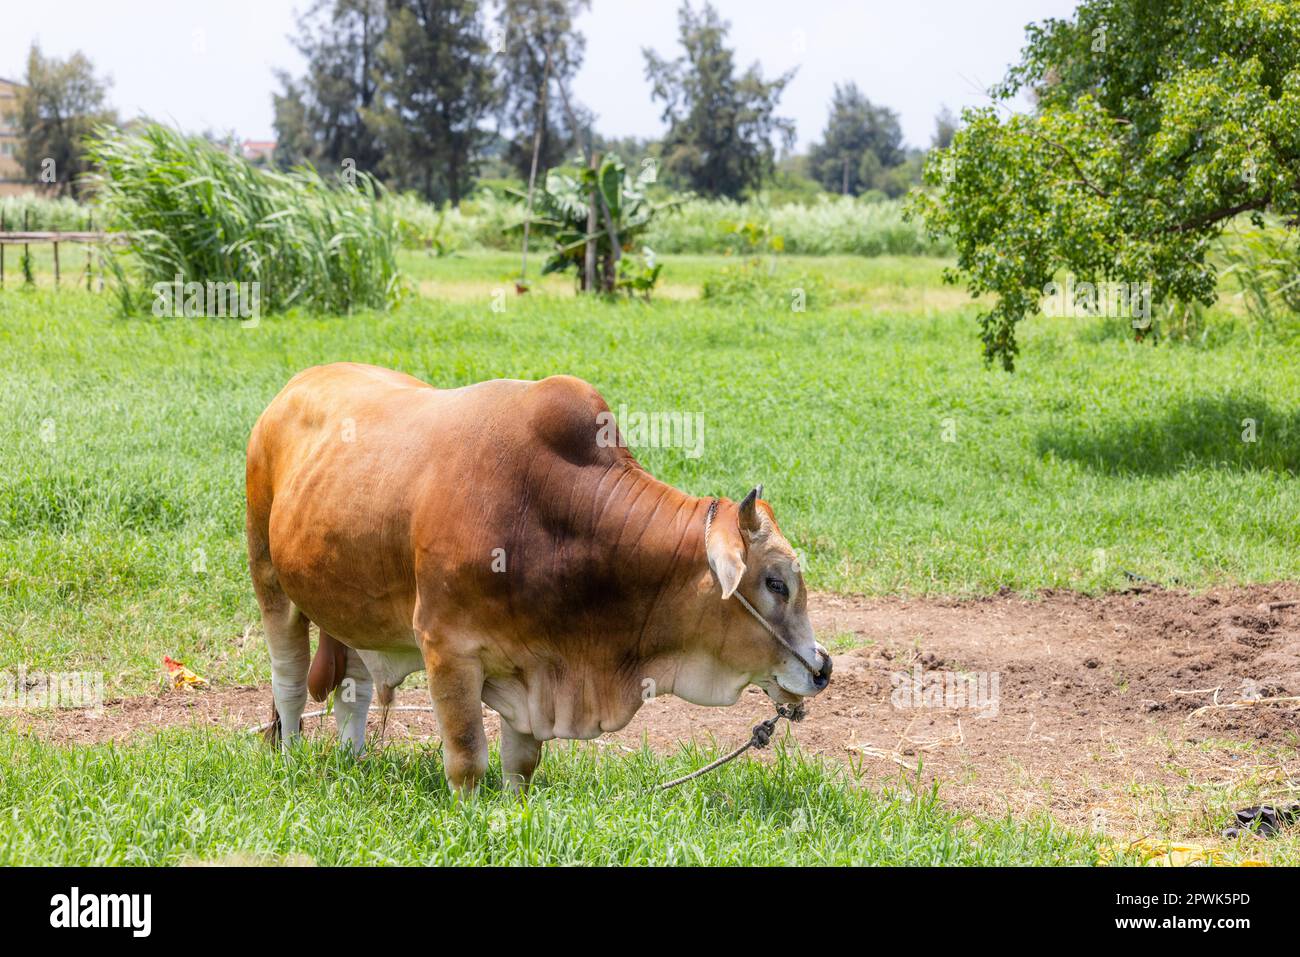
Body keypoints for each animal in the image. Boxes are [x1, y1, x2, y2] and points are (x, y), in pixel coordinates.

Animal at [246, 363, 832, 794]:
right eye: (776, 583)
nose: (823, 669)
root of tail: (293, 388)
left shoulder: (533, 666)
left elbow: (521, 764)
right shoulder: (447, 649)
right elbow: (467, 757)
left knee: (355, 688)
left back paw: (354, 760)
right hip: (270, 580)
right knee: (289, 683)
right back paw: (291, 757)